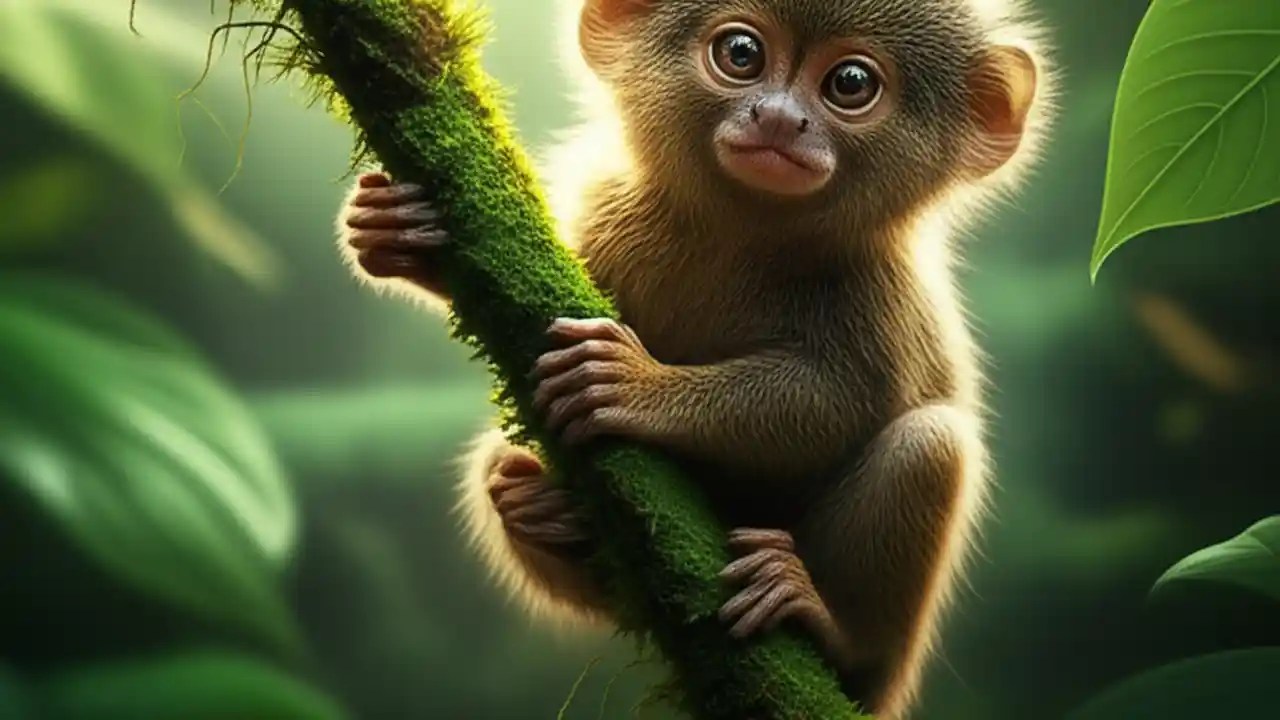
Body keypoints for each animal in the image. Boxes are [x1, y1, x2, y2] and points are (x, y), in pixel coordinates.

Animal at [338, 0, 1054, 716]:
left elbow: (835, 405)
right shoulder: (601, 212)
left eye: (850, 84)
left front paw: (637, 388)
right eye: (741, 53)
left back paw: (825, 622)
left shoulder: (880, 298)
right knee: (498, 466)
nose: (778, 117)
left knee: (928, 447)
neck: (740, 235)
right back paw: (546, 513)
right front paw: (406, 236)